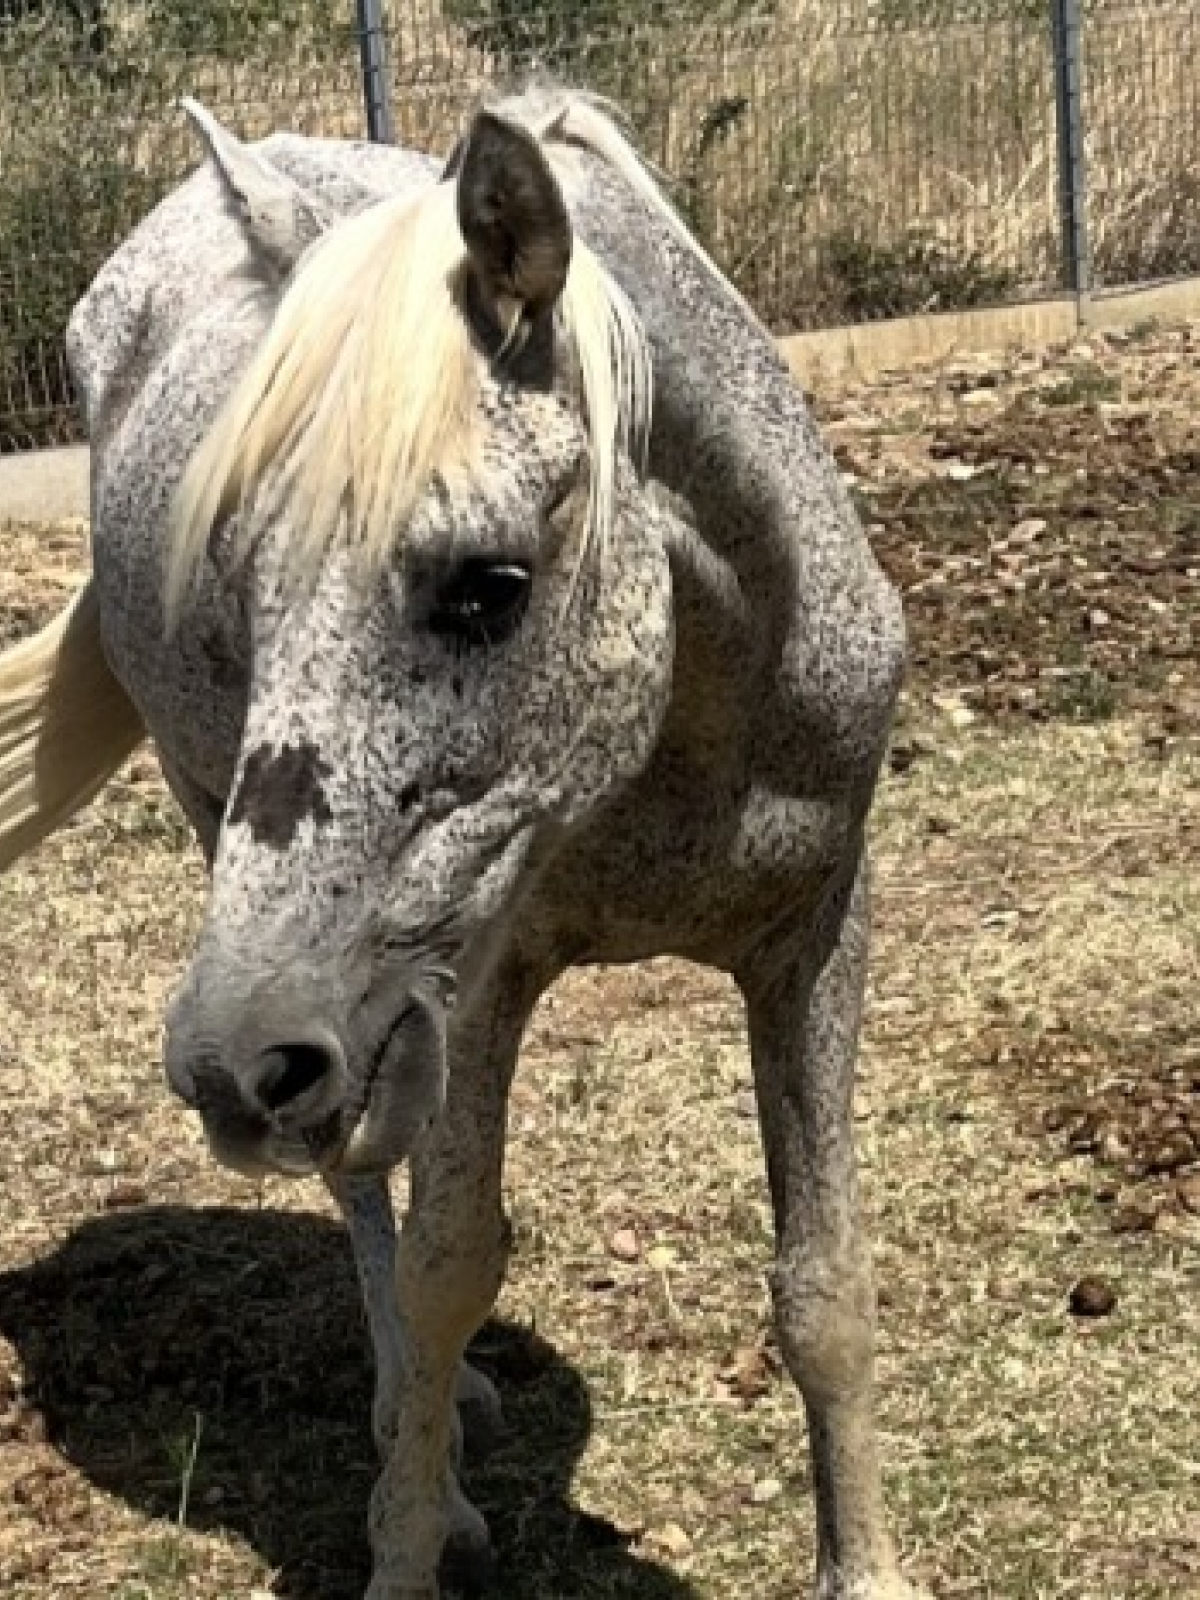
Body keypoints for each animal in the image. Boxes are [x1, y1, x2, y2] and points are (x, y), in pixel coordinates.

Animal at [0, 84, 913, 1599]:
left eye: (488, 587)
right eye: (234, 587)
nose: (225, 1063)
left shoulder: (814, 937)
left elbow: (825, 1280)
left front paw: (871, 1568)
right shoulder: (469, 975)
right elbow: (444, 1264)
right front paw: (412, 1535)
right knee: (359, 1177)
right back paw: (408, 1428)